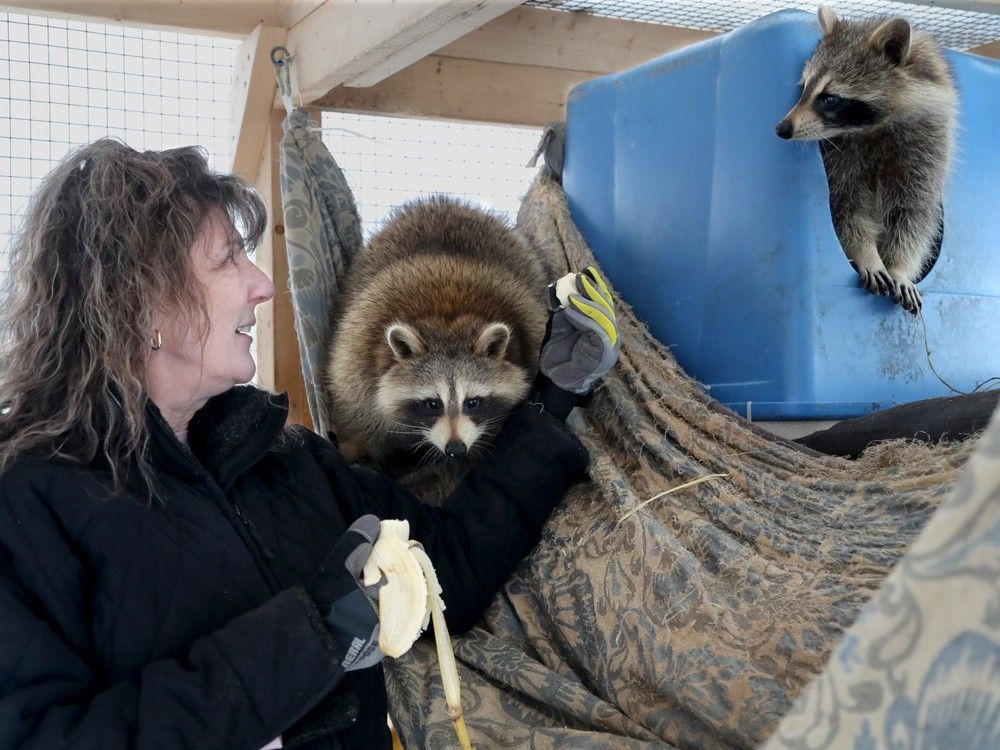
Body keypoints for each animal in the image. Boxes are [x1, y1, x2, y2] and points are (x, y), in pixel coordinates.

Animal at [325, 196, 547, 464]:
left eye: (473, 402)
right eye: (433, 404)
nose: (456, 449)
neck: (446, 321)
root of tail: (443, 202)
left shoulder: (530, 332)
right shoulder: (358, 352)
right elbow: (358, 410)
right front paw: (355, 445)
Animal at [775, 5, 957, 314]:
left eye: (830, 98)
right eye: (804, 89)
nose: (782, 128)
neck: (872, 129)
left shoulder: (927, 149)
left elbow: (913, 215)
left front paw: (900, 268)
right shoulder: (838, 157)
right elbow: (845, 208)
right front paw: (866, 254)